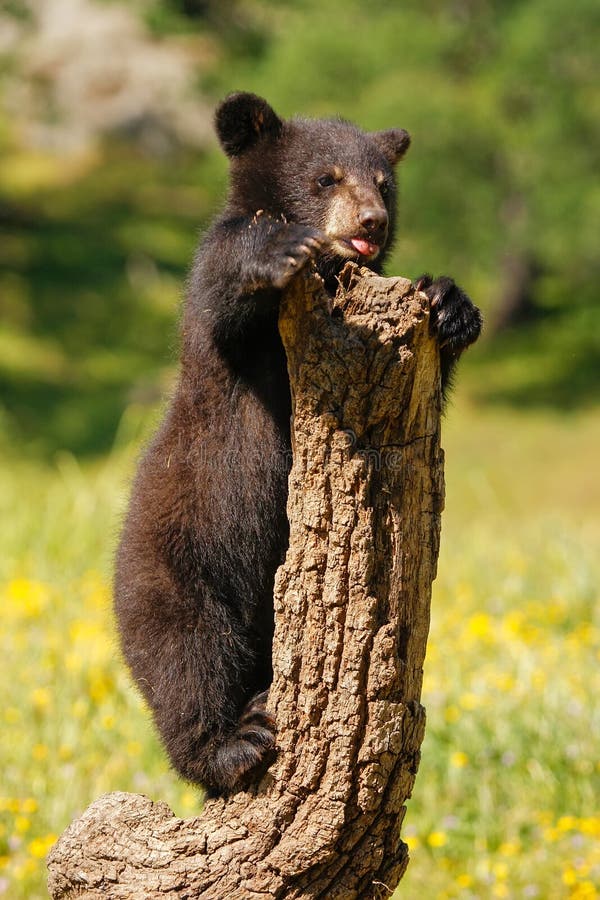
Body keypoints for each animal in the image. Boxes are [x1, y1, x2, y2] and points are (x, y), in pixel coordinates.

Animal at [114, 91, 482, 797]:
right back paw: (232, 741)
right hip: (179, 559)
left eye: (384, 182)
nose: (371, 221)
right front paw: (281, 246)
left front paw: (451, 302)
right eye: (324, 178)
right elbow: (221, 281)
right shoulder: (227, 329)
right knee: (185, 653)